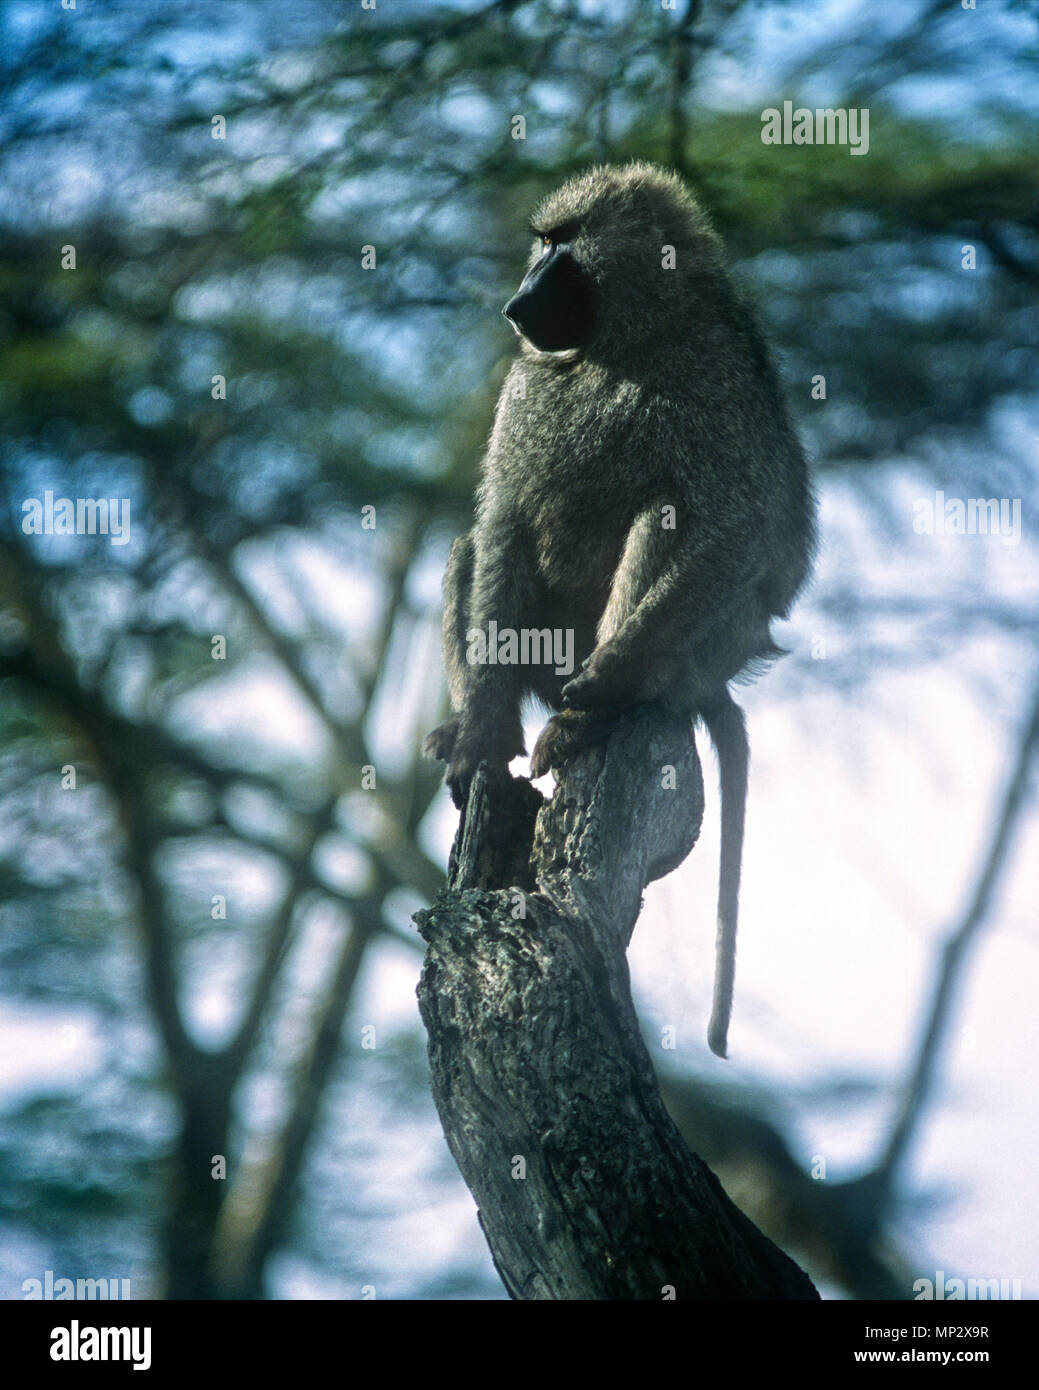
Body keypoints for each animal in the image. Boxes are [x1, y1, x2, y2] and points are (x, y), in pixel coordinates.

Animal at [424, 163, 815, 1058]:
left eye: (563, 243)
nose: (516, 303)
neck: (619, 346)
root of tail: (712, 681)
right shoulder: (525, 387)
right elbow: (501, 519)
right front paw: (480, 737)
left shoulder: (713, 371)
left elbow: (730, 522)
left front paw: (597, 694)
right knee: (471, 547)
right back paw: (475, 731)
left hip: (702, 644)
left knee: (668, 514)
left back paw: (595, 709)